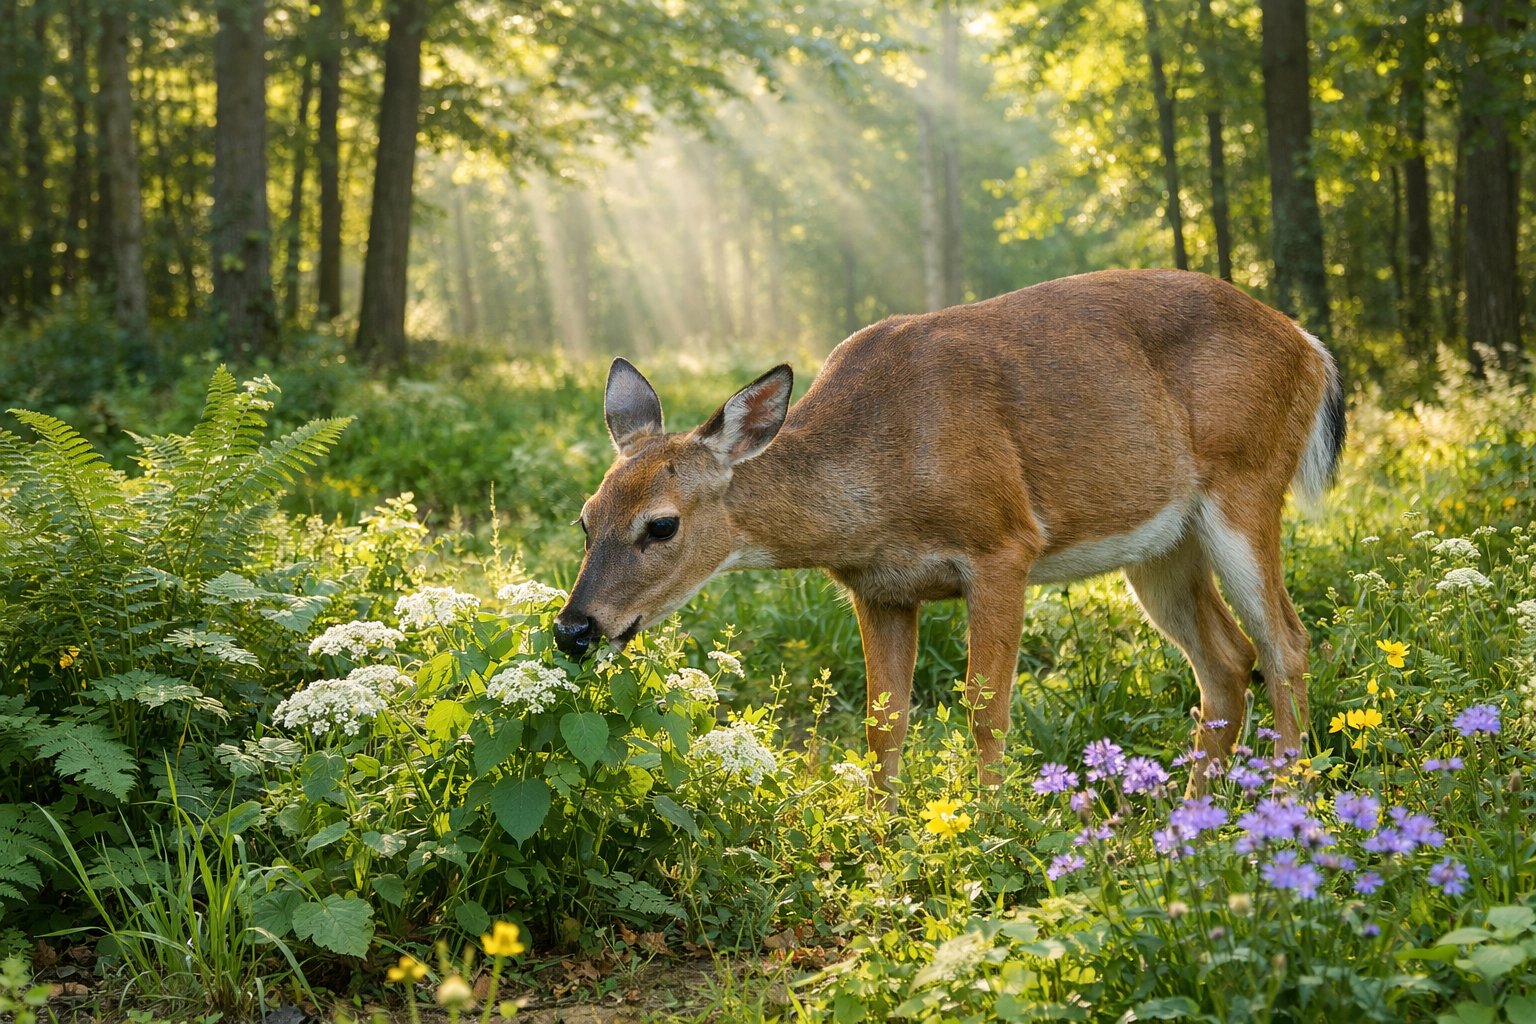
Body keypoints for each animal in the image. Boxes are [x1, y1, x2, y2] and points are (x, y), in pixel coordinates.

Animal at [553, 269, 1345, 792]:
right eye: (586, 519)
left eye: (661, 526)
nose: (573, 629)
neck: (880, 485)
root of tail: (1311, 347)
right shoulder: (878, 587)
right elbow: (883, 722)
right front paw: (882, 840)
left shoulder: (1003, 544)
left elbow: (985, 708)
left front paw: (994, 829)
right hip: (1159, 542)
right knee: (1227, 658)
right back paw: (1193, 819)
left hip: (1246, 484)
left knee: (1286, 640)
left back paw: (1290, 802)